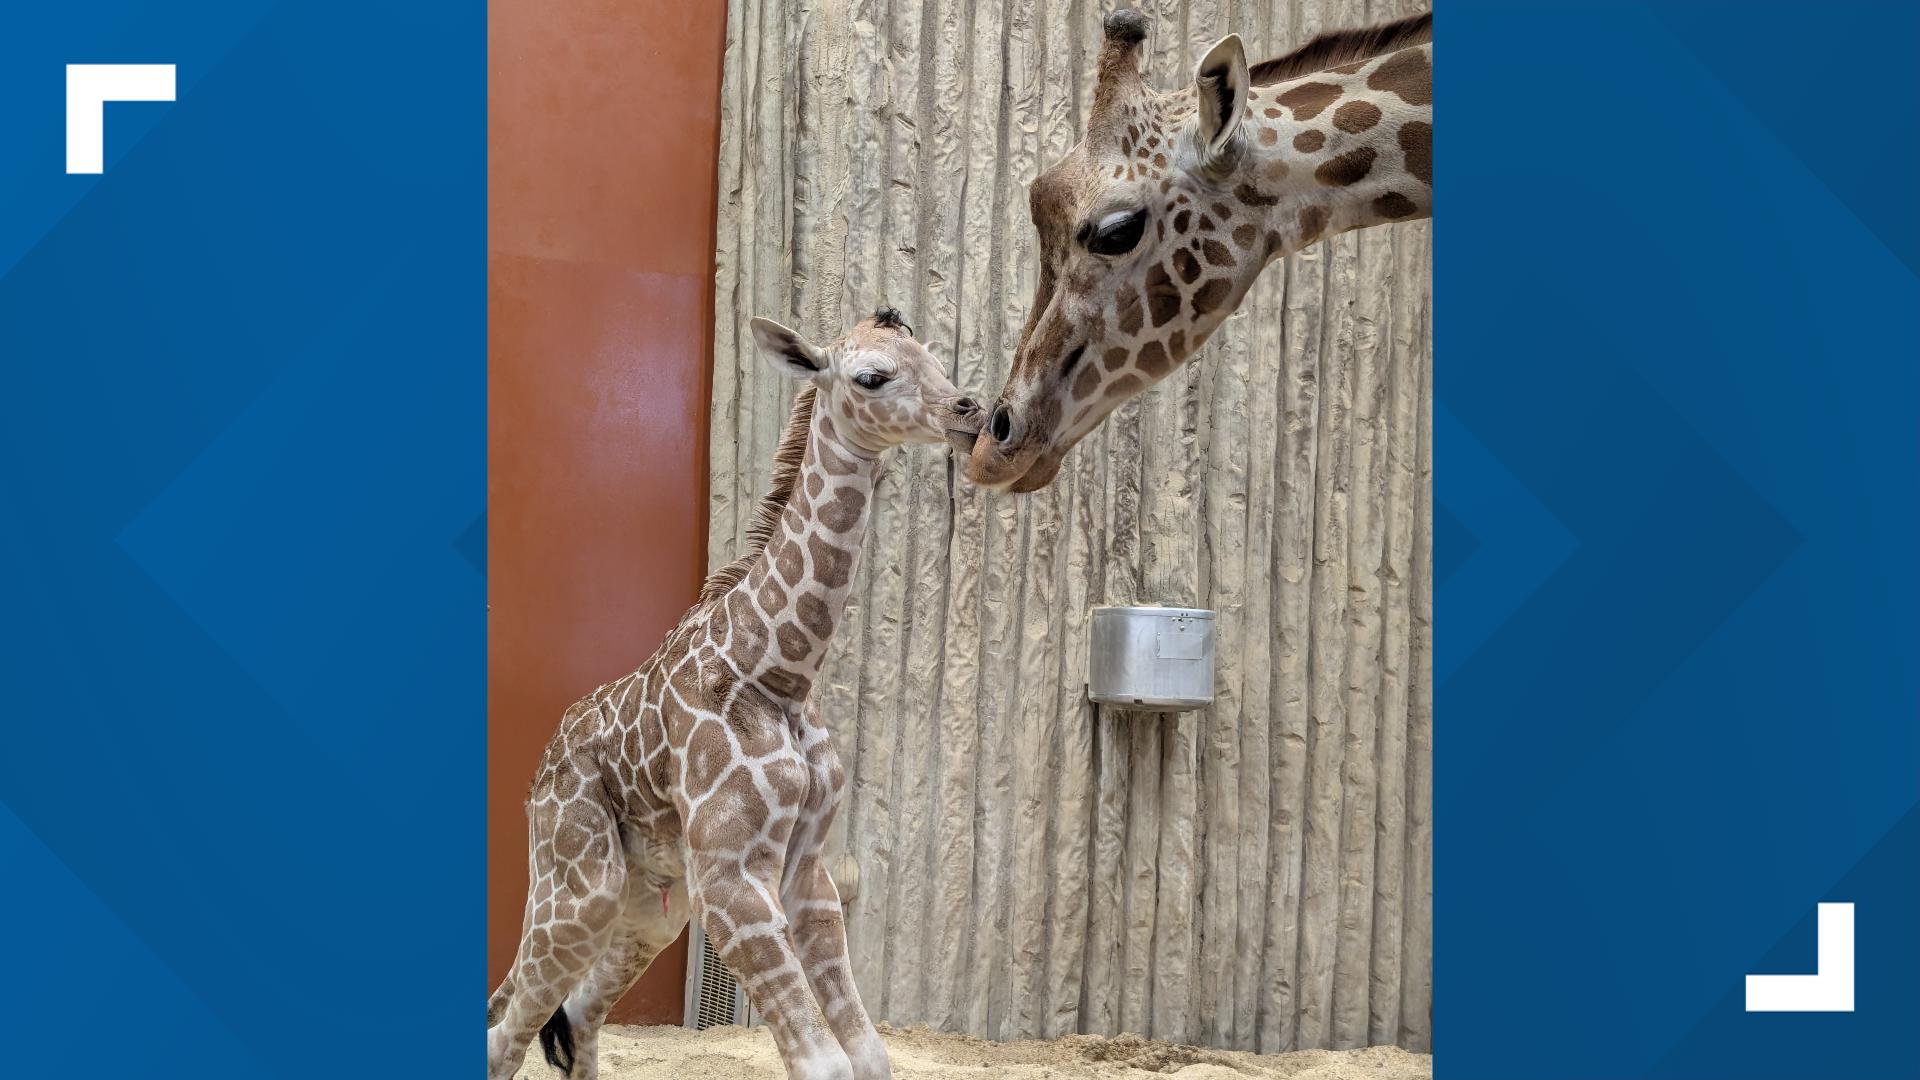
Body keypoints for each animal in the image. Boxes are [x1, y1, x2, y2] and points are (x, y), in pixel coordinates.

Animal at [486, 308, 983, 1080]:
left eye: (931, 356)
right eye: (872, 376)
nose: (973, 412)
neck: (778, 671)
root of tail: (540, 774)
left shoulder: (806, 874)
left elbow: (869, 1054)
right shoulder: (731, 876)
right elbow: (823, 1064)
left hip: (651, 906)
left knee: (581, 1013)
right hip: (577, 890)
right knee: (505, 1029)